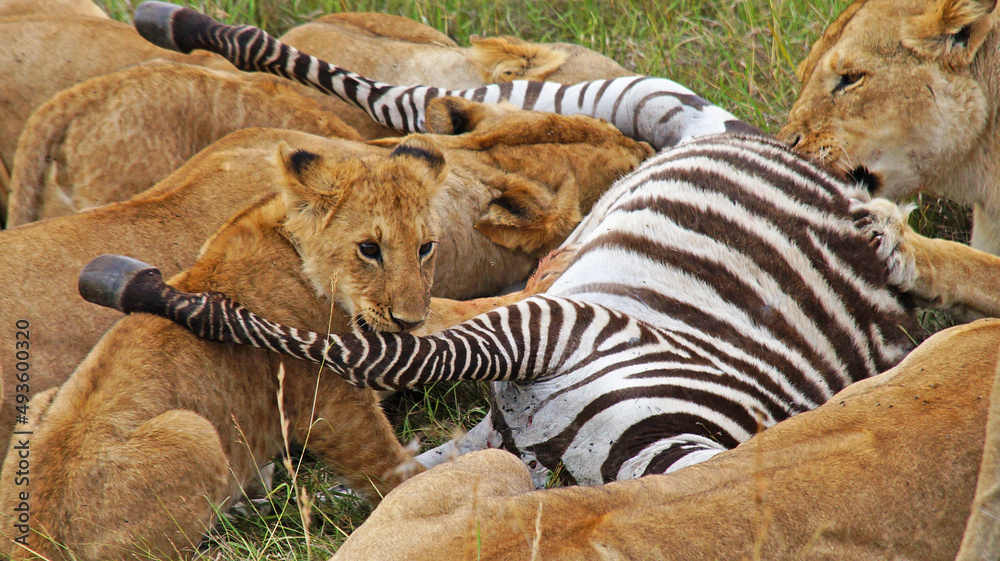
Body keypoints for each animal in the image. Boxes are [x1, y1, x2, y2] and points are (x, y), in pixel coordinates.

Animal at [0, 136, 574, 561]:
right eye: (369, 249)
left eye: (425, 247)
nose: (406, 320)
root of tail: (26, 541)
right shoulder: (331, 398)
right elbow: (393, 470)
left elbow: (457, 311)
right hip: (192, 431)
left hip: (44, 400)